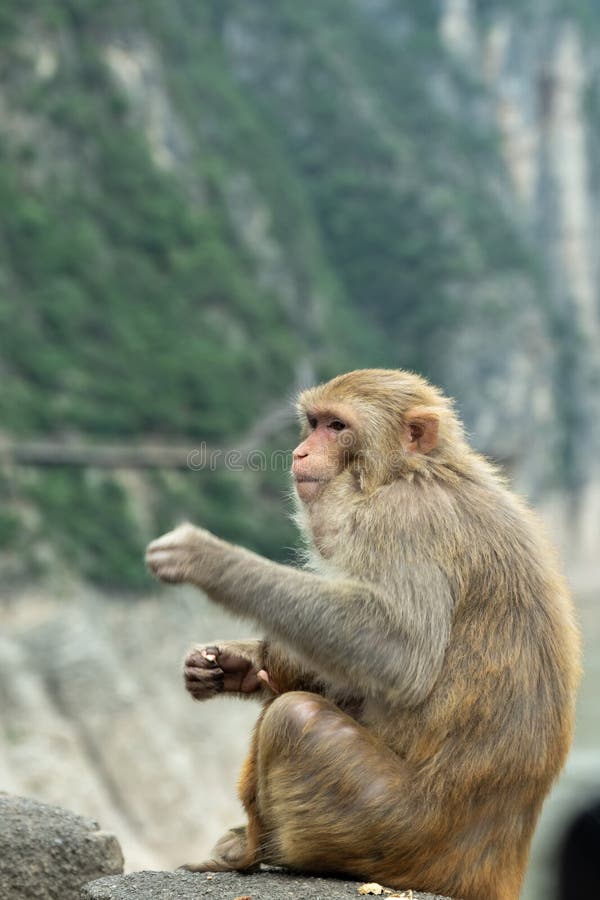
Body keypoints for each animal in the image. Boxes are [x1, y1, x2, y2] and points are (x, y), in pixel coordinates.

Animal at [146, 368, 581, 900]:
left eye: (337, 427)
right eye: (314, 423)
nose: (299, 452)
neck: (408, 473)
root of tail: (492, 870)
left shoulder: (403, 521)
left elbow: (398, 657)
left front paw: (212, 560)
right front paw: (234, 664)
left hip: (388, 828)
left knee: (294, 716)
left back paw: (251, 850)